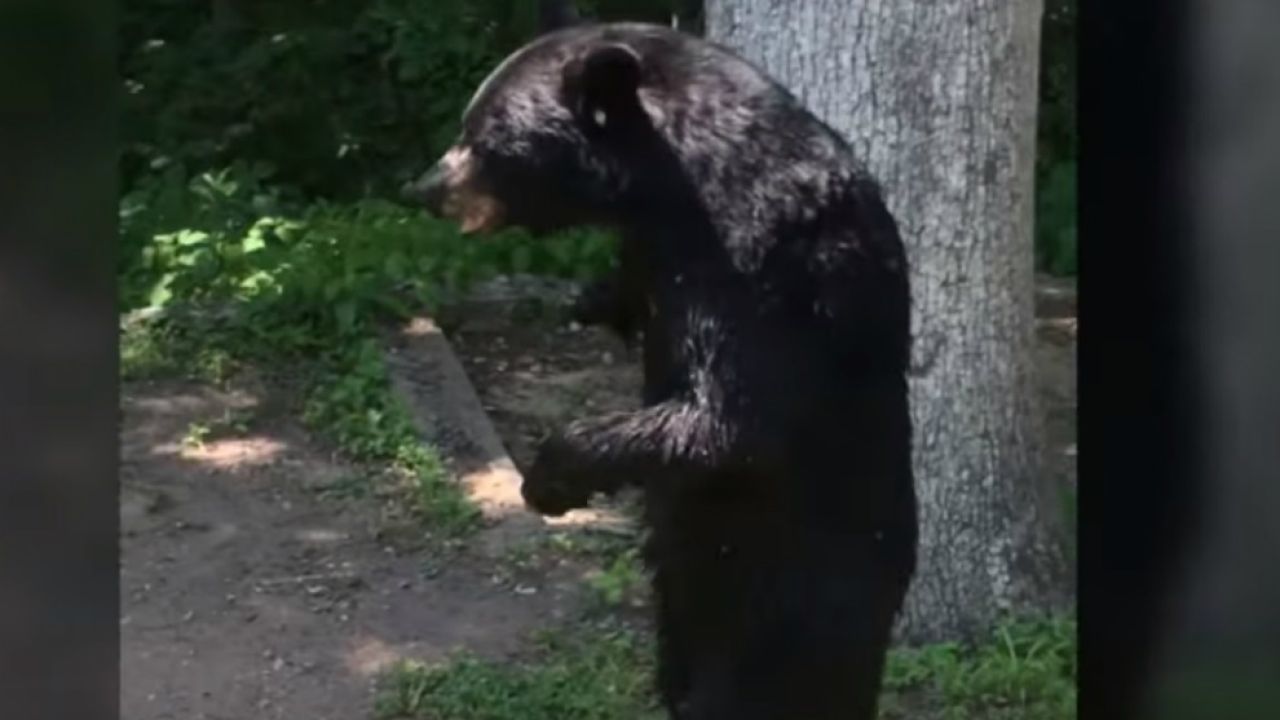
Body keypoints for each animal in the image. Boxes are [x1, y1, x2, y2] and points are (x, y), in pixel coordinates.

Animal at [405, 21, 918, 720]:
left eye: (481, 135)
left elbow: (735, 420)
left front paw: (550, 480)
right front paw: (596, 299)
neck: (673, 186)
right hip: (684, 596)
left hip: (790, 591)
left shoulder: (759, 264)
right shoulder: (656, 248)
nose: (426, 187)